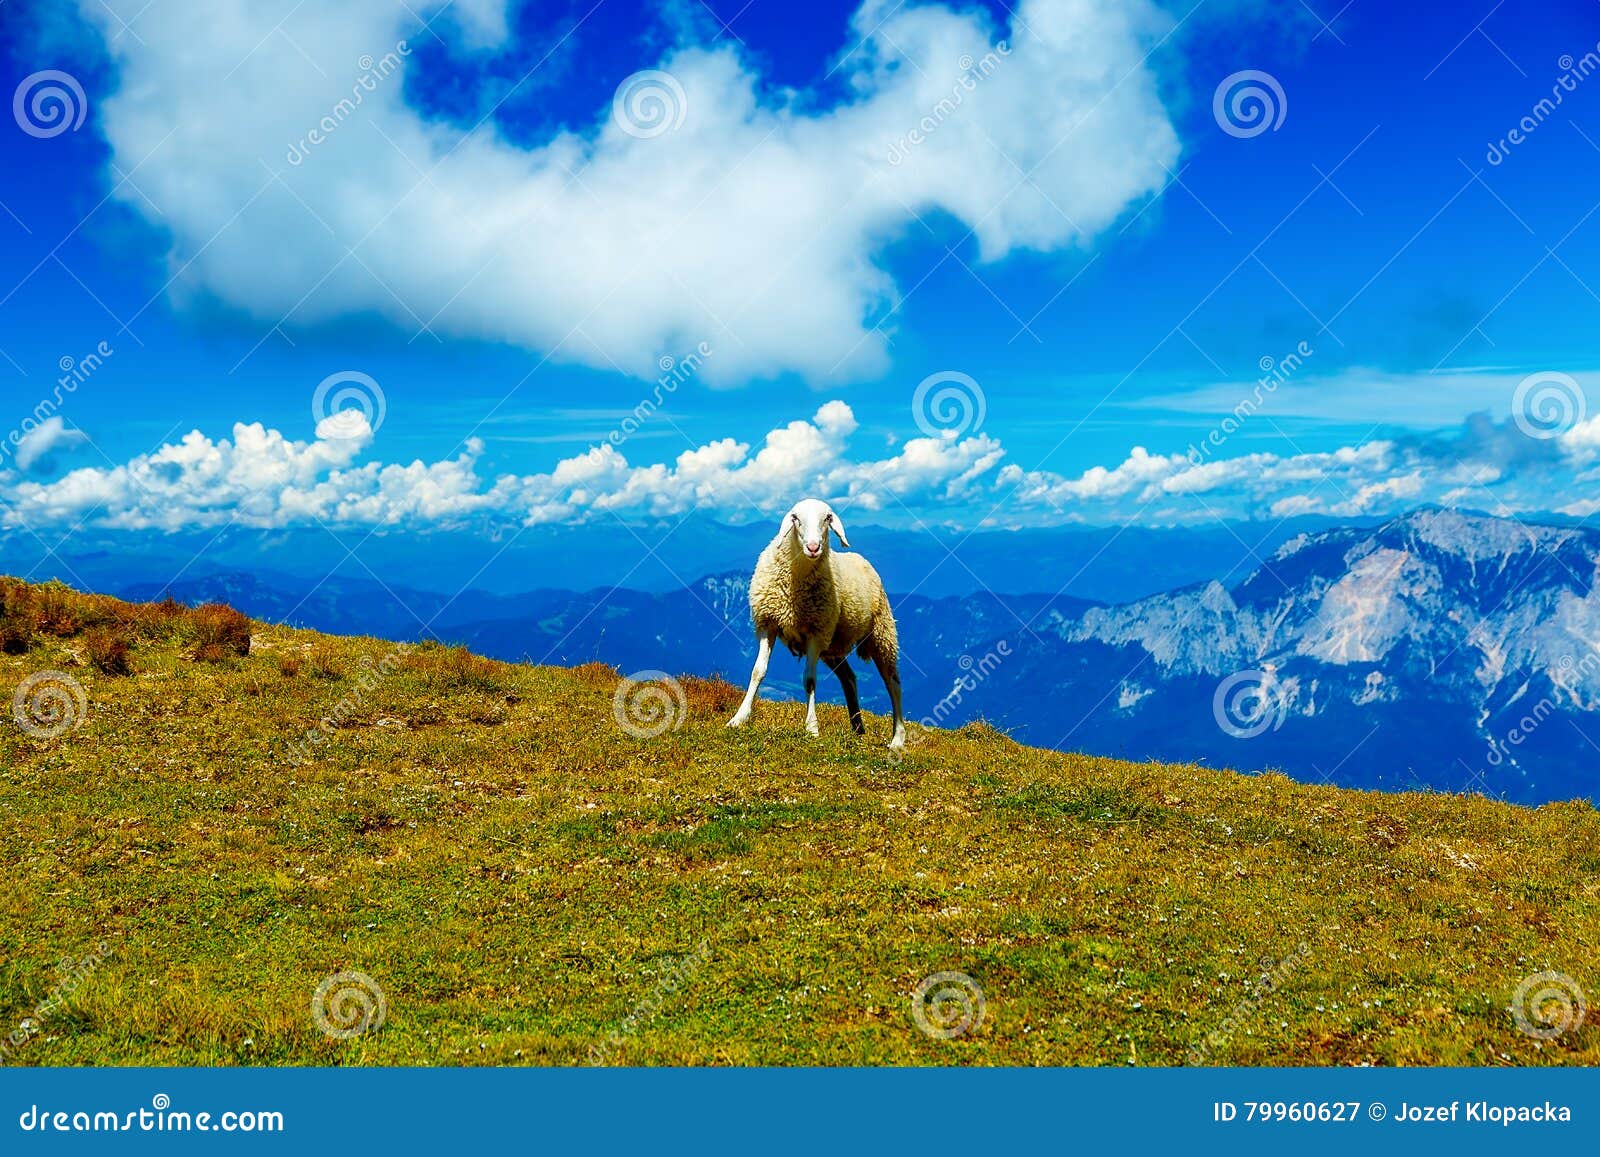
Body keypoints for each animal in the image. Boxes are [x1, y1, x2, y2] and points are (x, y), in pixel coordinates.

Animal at [726, 498, 907, 749]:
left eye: (828, 518)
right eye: (795, 518)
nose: (813, 547)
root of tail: (862, 559)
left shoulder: (815, 633)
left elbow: (809, 680)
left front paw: (811, 728)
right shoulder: (767, 623)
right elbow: (757, 671)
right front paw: (739, 718)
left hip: (881, 633)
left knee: (893, 683)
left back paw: (898, 737)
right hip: (832, 647)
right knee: (850, 678)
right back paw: (857, 727)